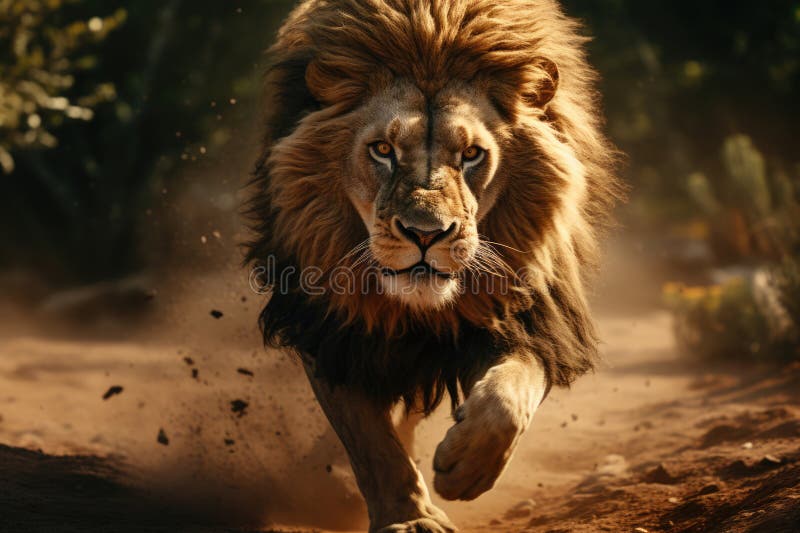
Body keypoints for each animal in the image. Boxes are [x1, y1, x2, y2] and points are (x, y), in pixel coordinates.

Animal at [245, 0, 621, 531]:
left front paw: (466, 469)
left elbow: (509, 399)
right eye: (383, 150)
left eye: (472, 155)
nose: (425, 234)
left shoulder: (529, 319)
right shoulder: (329, 327)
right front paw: (408, 516)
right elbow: (369, 440)